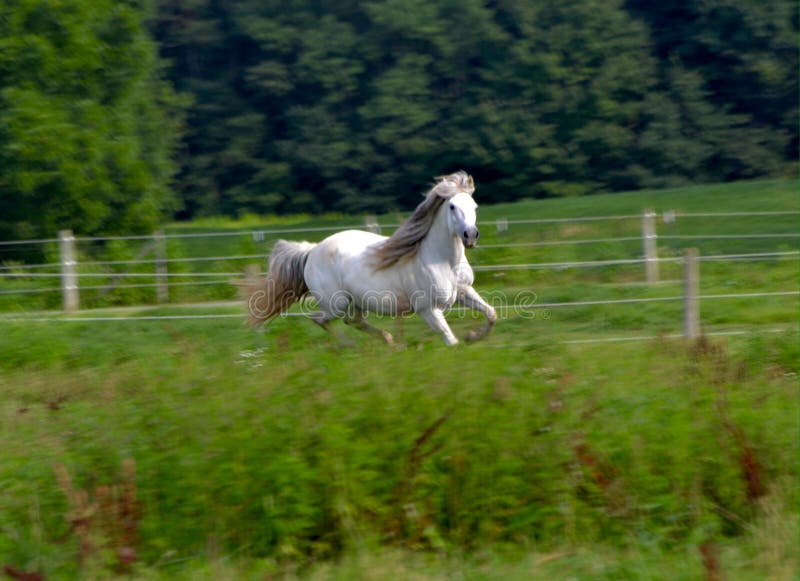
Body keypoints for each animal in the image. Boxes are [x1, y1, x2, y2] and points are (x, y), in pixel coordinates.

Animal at [246, 171, 497, 345]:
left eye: (475, 206)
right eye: (452, 206)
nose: (470, 235)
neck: (442, 261)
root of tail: (312, 251)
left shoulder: (464, 292)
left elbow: (491, 313)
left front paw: (473, 336)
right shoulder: (428, 309)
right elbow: (450, 340)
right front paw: (465, 342)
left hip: (357, 302)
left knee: (352, 320)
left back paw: (388, 341)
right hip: (337, 303)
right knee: (319, 318)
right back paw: (350, 346)